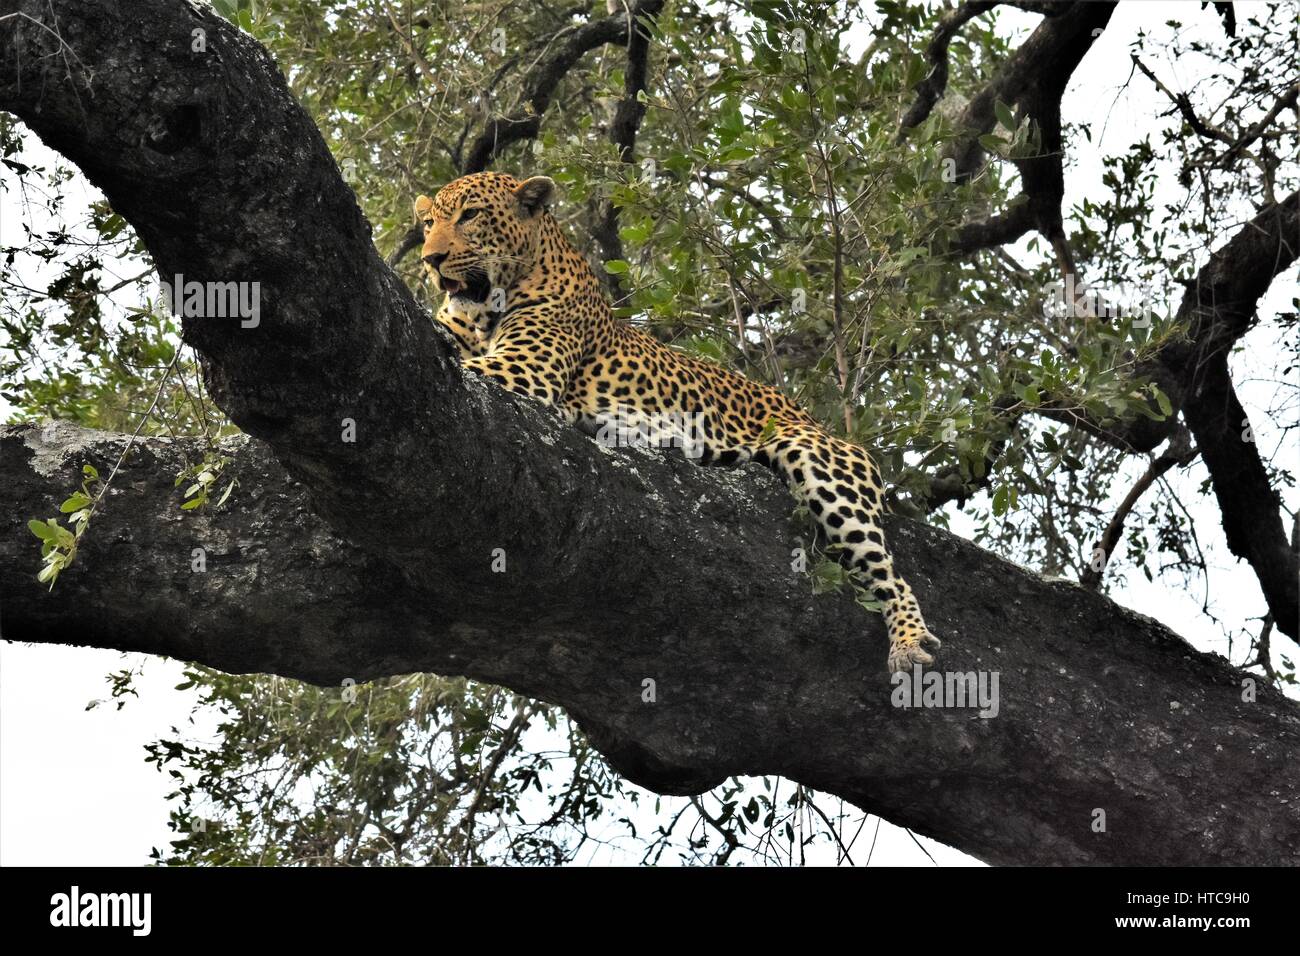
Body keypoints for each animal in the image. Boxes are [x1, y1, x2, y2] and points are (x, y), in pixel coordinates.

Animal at [413, 171, 941, 674]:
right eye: (428, 223)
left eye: (470, 215)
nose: (431, 260)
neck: (488, 307)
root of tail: (816, 420)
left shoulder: (524, 371)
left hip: (822, 463)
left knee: (892, 573)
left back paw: (909, 641)